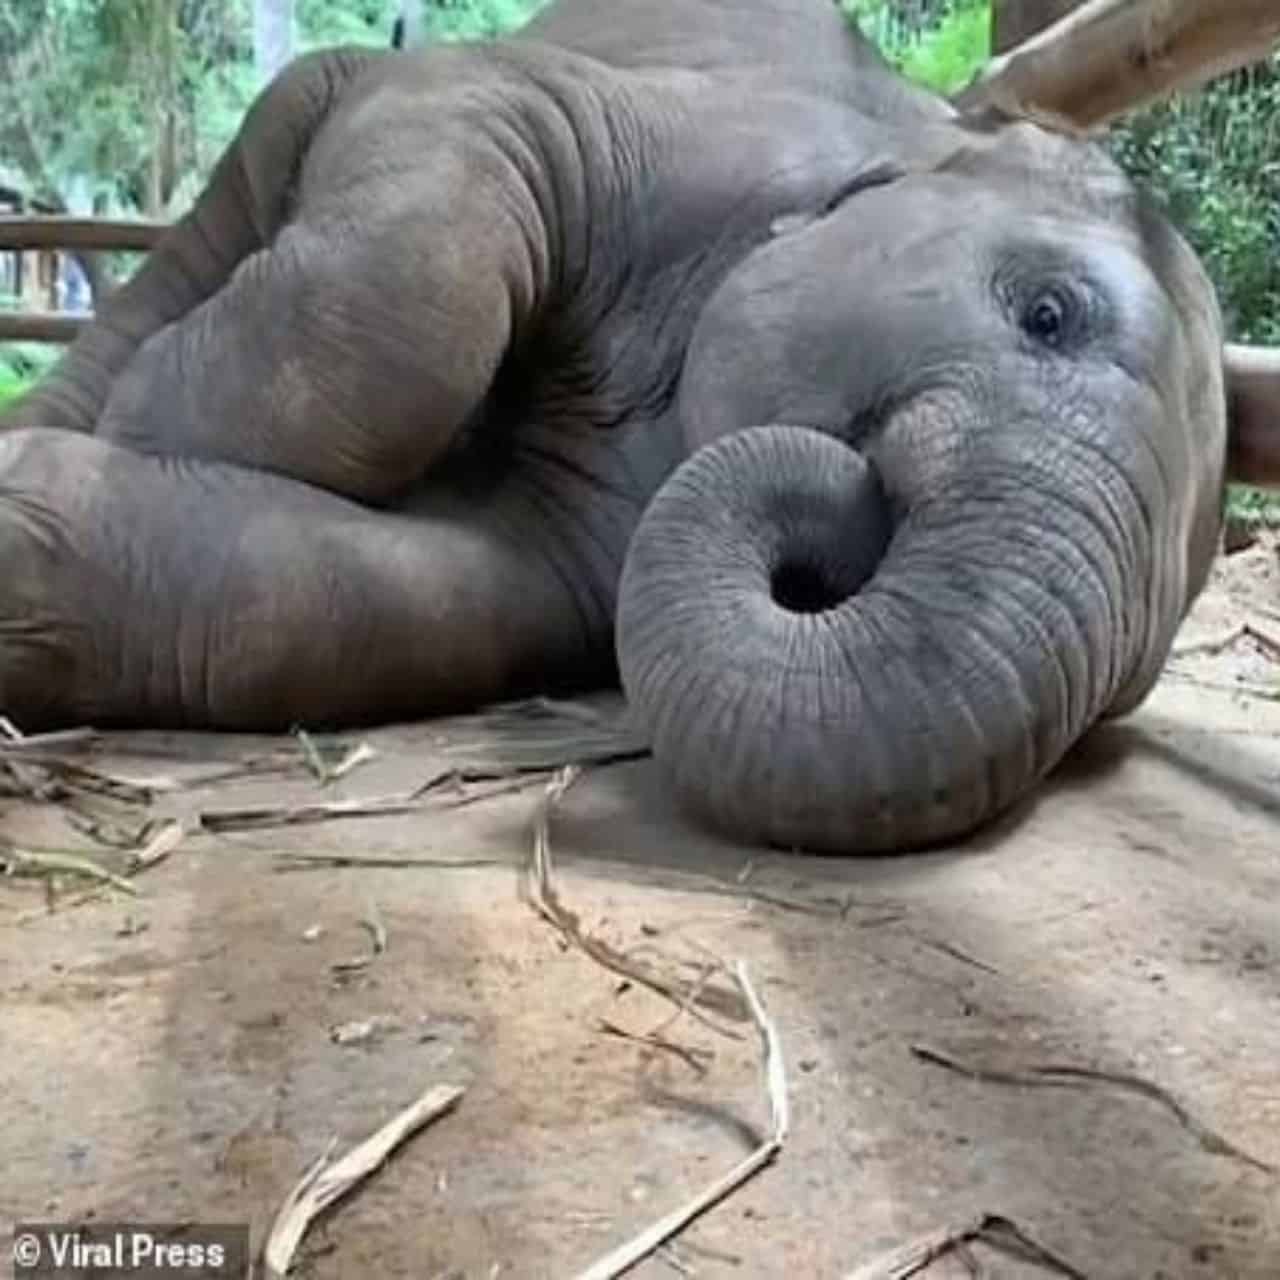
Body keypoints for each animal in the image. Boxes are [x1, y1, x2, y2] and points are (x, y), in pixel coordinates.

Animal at [3, 0, 1279, 855]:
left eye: (1117, 698)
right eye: (1047, 314)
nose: (837, 530)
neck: (930, 133)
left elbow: (403, 596)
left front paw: (39, 504)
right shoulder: (670, 130)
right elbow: (459, 157)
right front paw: (140, 419)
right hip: (299, 111)